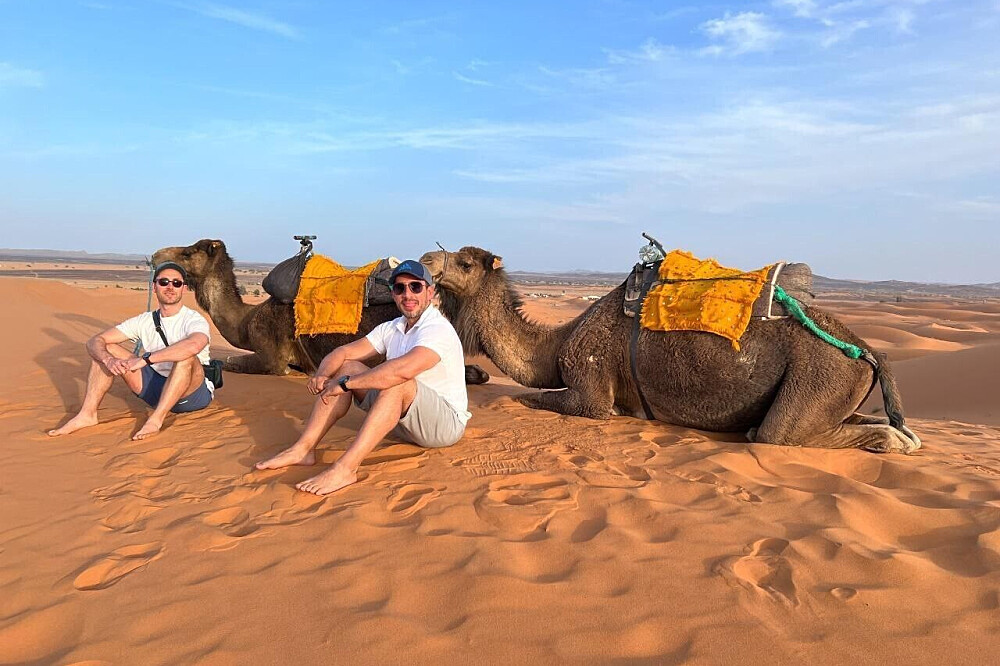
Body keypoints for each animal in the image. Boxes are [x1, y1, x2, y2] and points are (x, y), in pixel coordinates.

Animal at [420, 246, 921, 454]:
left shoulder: (590, 389)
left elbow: (531, 398)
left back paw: (895, 443)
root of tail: (868, 352)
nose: (425, 260)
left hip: (819, 376)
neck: (559, 341)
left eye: (465, 262)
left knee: (777, 434)